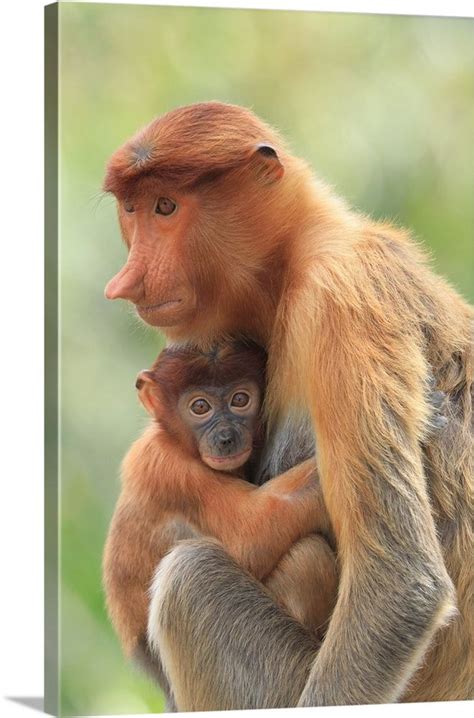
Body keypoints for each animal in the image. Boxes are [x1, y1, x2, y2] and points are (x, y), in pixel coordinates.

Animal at [103, 340, 338, 707]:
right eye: (200, 406)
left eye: (240, 400)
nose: (226, 437)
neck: (176, 440)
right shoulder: (169, 467)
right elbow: (252, 533)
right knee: (306, 555)